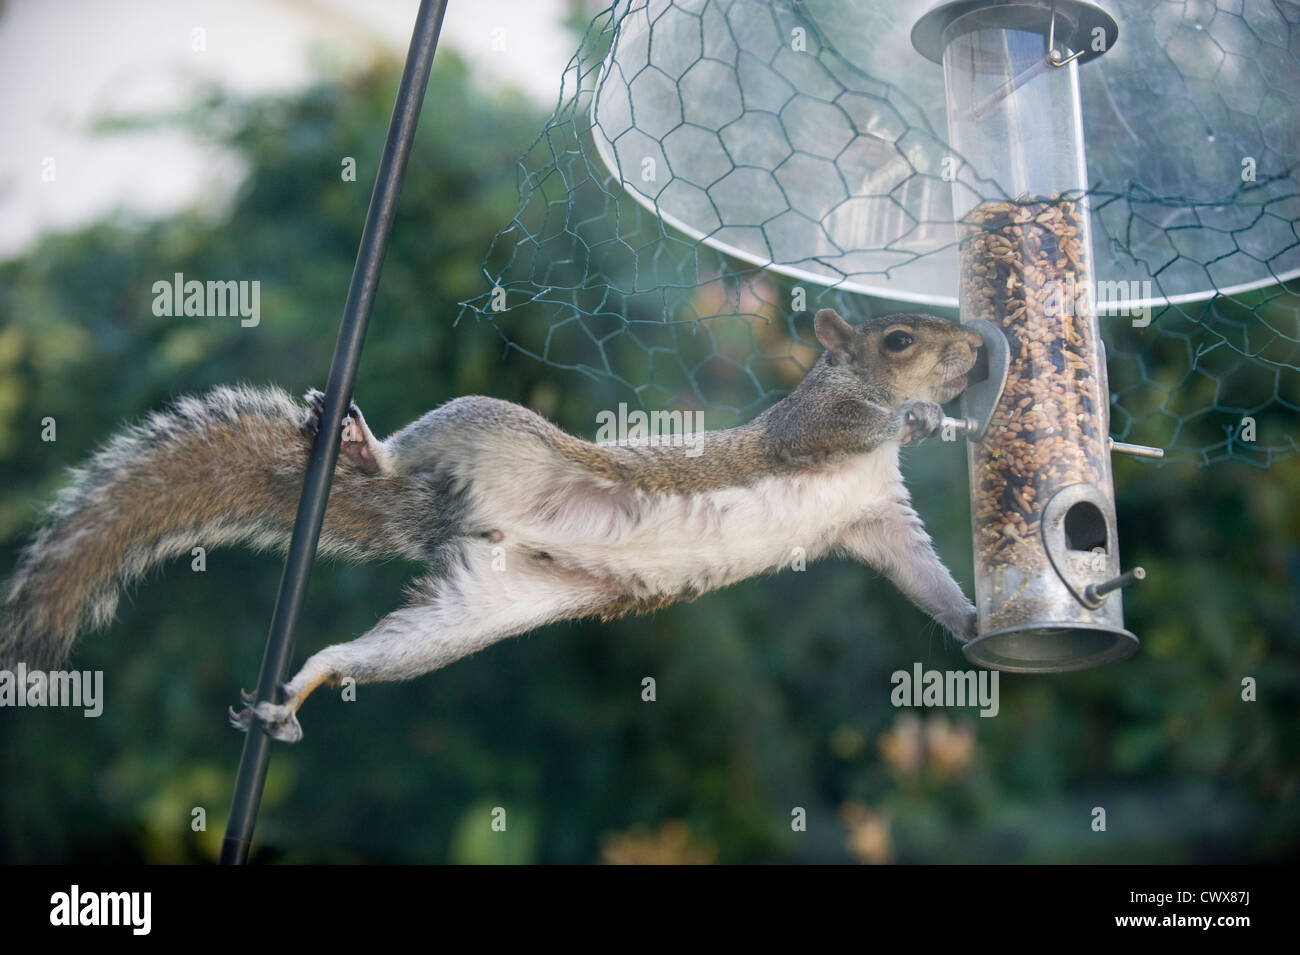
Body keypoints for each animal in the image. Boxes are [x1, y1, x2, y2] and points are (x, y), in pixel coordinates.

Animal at [2, 309, 983, 742]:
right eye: (898, 338)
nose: (977, 350)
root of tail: (453, 510)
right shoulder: (811, 428)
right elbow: (857, 419)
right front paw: (924, 417)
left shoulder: (879, 522)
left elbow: (927, 583)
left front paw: (977, 625)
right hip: (486, 428)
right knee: (402, 453)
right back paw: (364, 449)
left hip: (486, 608)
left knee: (384, 649)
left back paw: (307, 682)